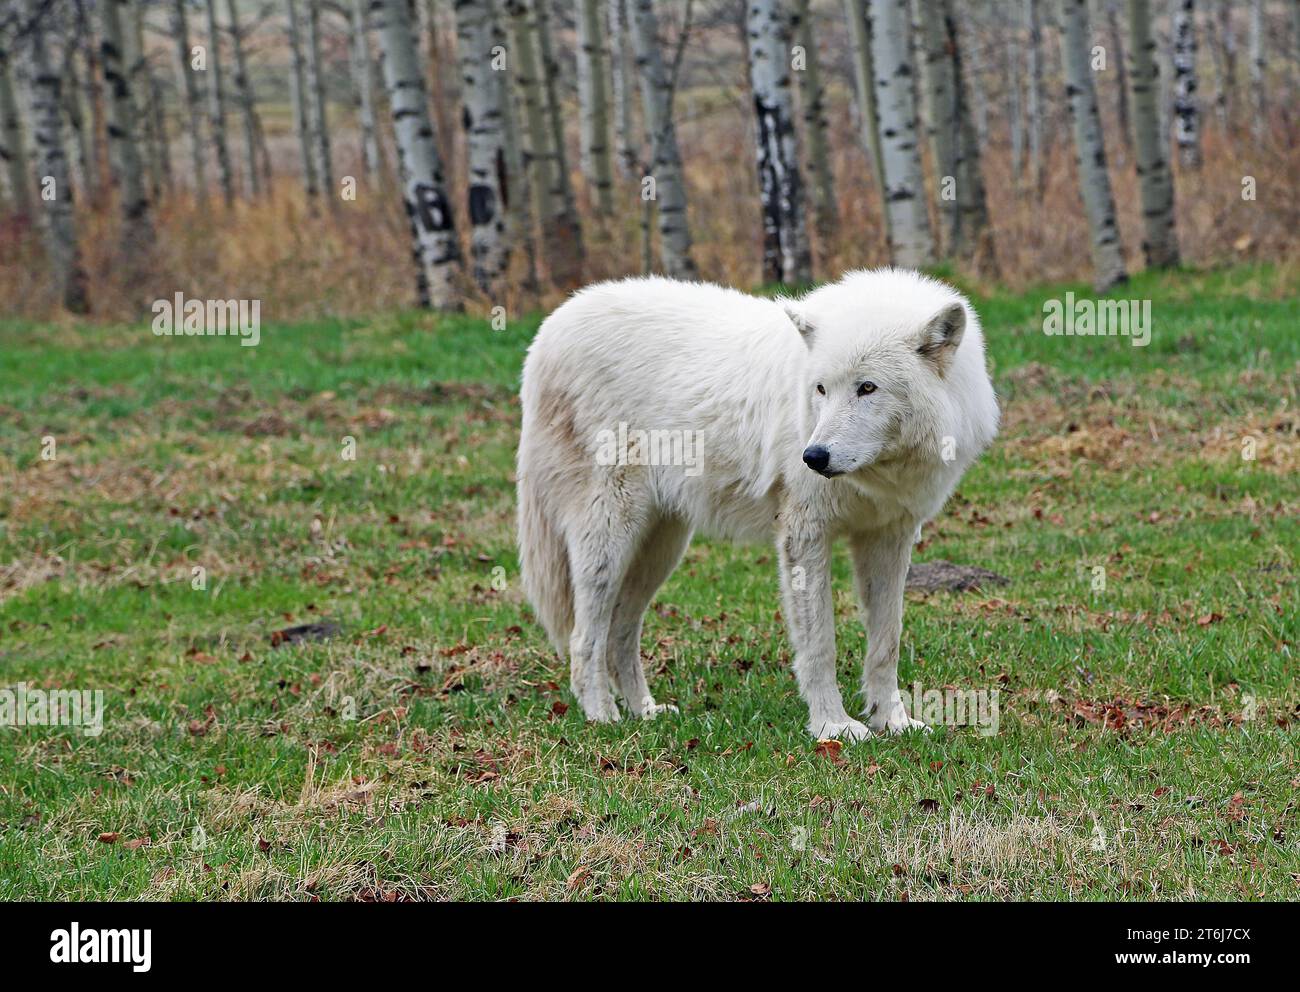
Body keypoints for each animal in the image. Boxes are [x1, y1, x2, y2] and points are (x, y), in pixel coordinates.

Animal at [516, 269, 998, 740]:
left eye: (867, 387)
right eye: (820, 389)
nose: (813, 457)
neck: (879, 473)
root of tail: (549, 330)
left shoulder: (890, 537)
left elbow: (887, 642)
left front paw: (892, 722)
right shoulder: (805, 535)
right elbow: (820, 644)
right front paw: (834, 725)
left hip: (661, 547)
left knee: (619, 633)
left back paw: (645, 712)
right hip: (611, 536)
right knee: (584, 638)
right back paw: (602, 717)